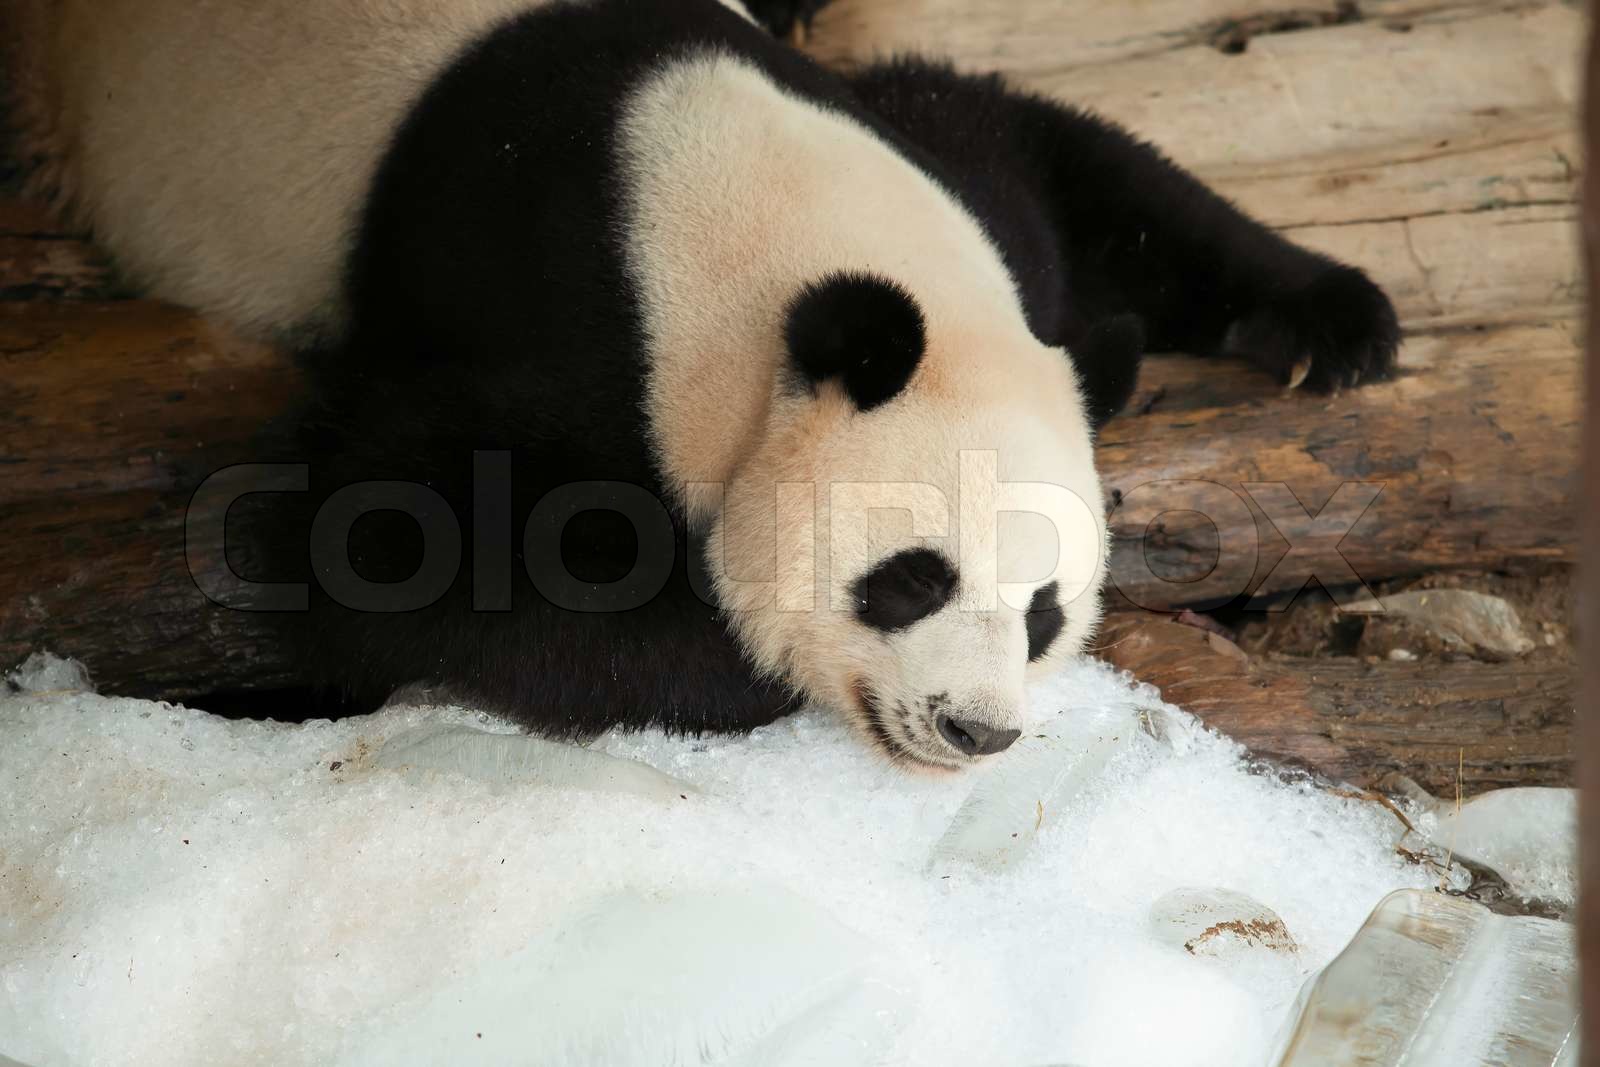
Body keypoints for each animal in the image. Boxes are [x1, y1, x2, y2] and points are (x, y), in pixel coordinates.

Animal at [3, 0, 1399, 768]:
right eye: (910, 580)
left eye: (1046, 610)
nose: (978, 731)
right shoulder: (552, 304)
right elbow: (371, 534)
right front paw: (743, 644)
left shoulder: (966, 203)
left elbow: (1056, 154)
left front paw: (1336, 318)